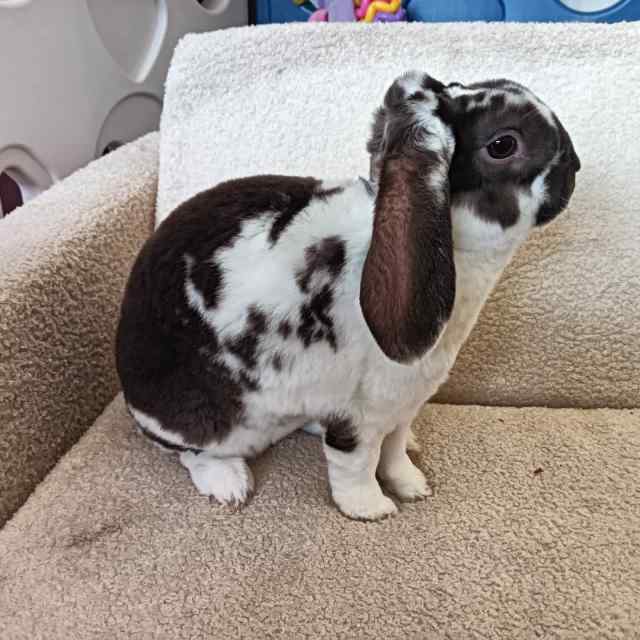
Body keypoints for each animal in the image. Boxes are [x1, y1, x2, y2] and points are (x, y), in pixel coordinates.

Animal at [116, 71, 580, 521]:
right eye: (503, 144)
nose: (575, 164)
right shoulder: (360, 415)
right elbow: (357, 463)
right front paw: (371, 509)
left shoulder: (404, 406)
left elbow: (394, 451)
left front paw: (413, 485)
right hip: (204, 421)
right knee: (191, 452)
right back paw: (229, 484)